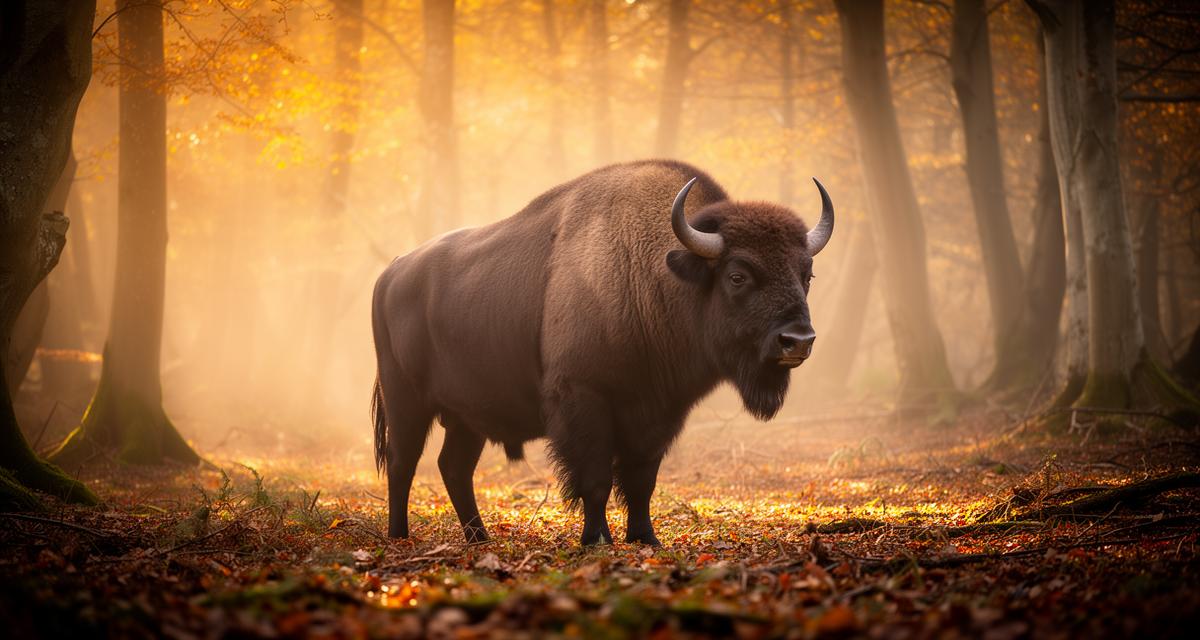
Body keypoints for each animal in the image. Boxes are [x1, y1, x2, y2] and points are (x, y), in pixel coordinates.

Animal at [371, 160, 834, 545]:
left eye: (807, 274)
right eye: (737, 275)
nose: (798, 340)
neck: (651, 273)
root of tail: (392, 273)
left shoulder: (659, 412)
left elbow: (641, 481)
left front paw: (645, 538)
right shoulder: (584, 400)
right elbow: (595, 480)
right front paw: (597, 540)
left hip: (468, 417)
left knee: (454, 467)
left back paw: (479, 538)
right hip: (406, 402)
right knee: (402, 462)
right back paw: (399, 535)